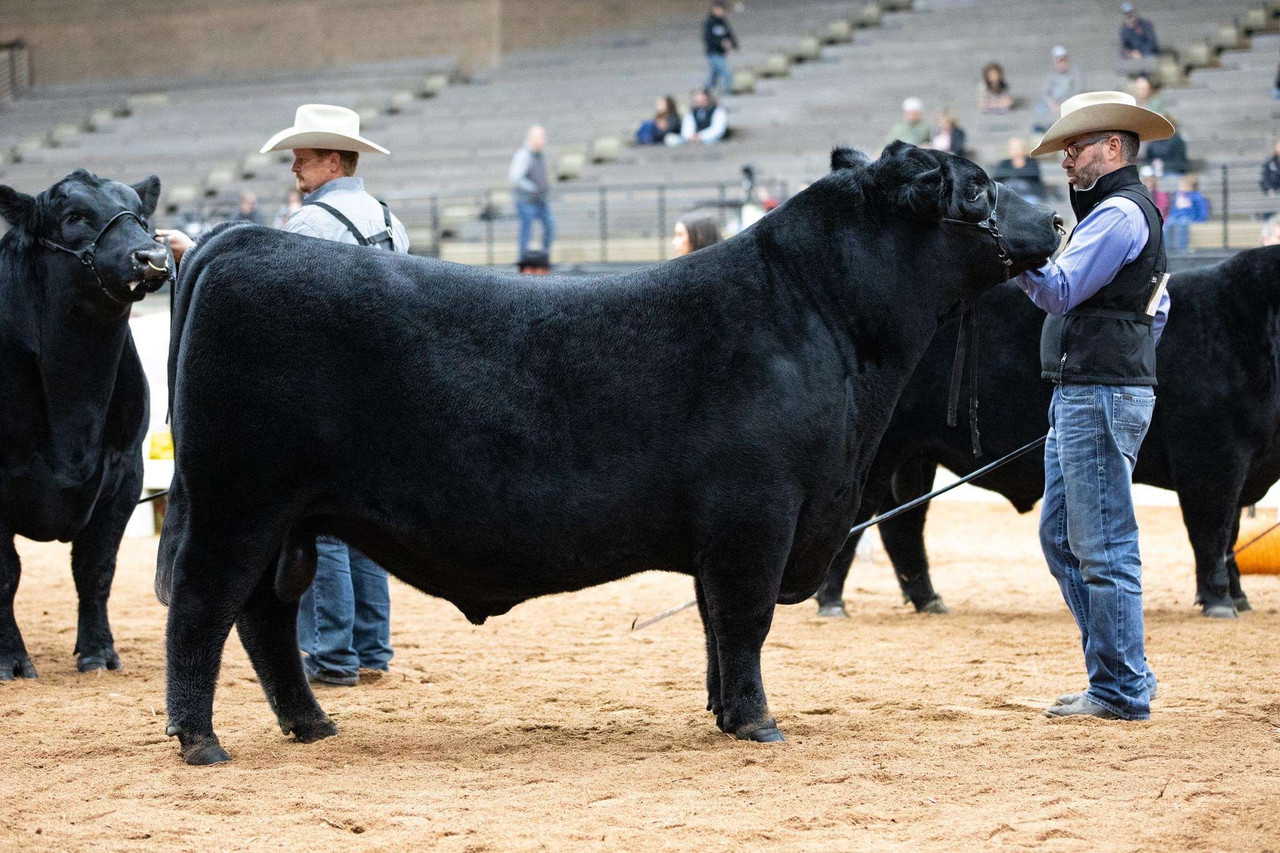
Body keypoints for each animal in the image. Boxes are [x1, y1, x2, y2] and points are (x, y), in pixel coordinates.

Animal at [0, 169, 170, 679]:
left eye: (141, 213)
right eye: (74, 216)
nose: (153, 257)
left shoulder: (125, 471)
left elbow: (95, 568)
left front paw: (98, 652)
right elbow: (6, 574)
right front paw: (11, 659)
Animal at [157, 142, 1062, 765]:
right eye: (980, 186)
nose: (1057, 219)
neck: (821, 318)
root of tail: (240, 241)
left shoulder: (739, 528)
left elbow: (714, 623)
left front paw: (724, 712)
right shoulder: (757, 514)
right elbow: (746, 618)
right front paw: (758, 721)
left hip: (285, 517)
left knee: (264, 616)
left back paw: (311, 722)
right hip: (238, 501)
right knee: (204, 606)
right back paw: (201, 740)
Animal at [815, 246, 1280, 620]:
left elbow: (1230, 535)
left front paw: (1239, 598)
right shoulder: (1212, 457)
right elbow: (1212, 531)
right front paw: (1219, 602)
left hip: (915, 454)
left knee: (903, 524)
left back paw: (928, 599)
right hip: (879, 449)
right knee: (859, 519)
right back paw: (831, 601)